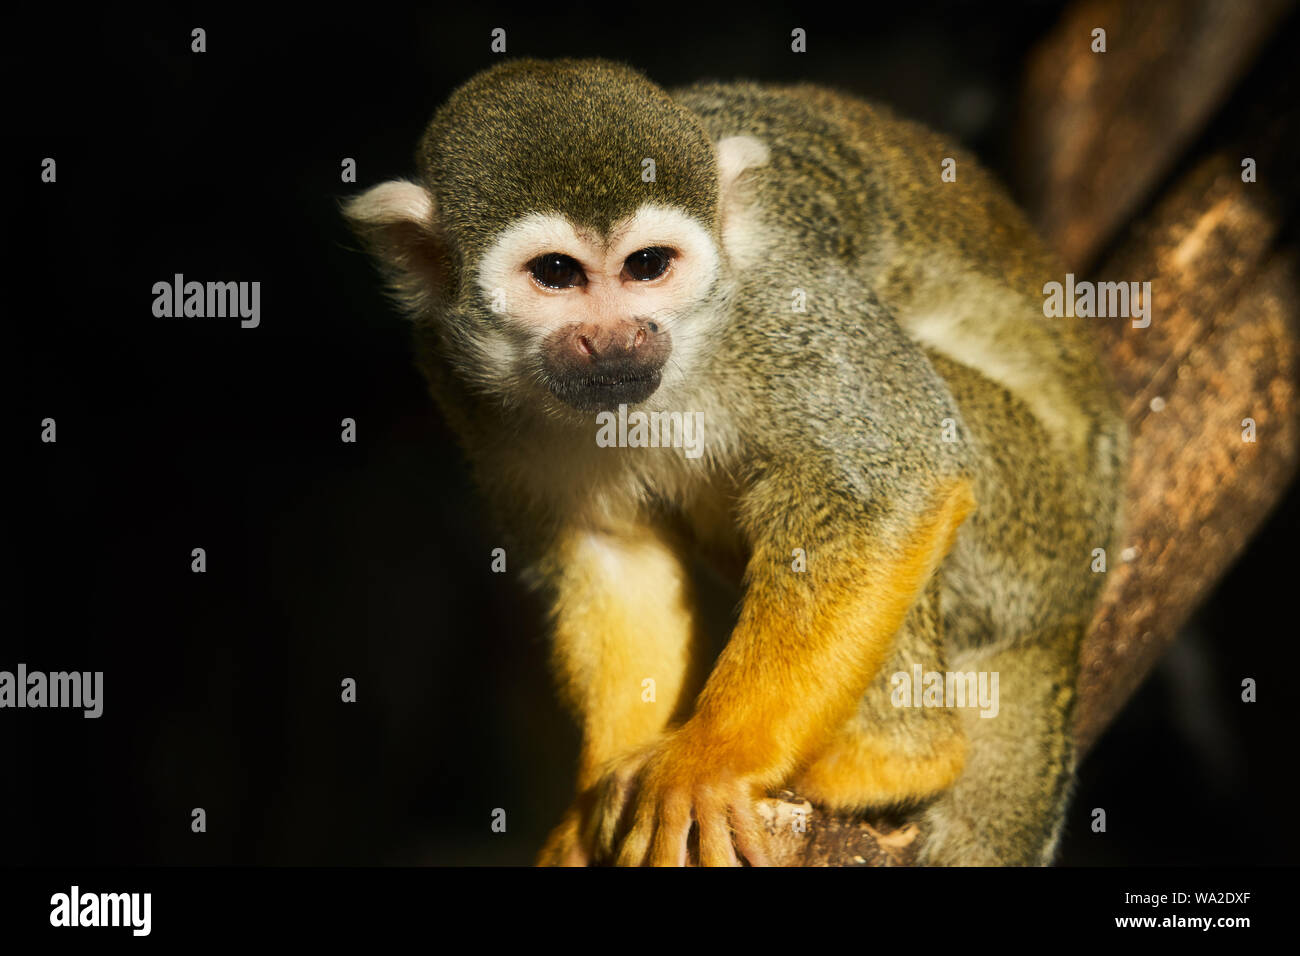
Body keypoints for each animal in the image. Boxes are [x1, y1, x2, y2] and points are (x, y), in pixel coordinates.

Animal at [343, 58, 1127, 866]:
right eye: (556, 274)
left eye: (648, 266)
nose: (617, 338)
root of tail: (1079, 598)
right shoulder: (453, 376)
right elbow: (609, 550)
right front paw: (594, 808)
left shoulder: (777, 295)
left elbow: (896, 475)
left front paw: (710, 756)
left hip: (1037, 519)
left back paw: (900, 757)